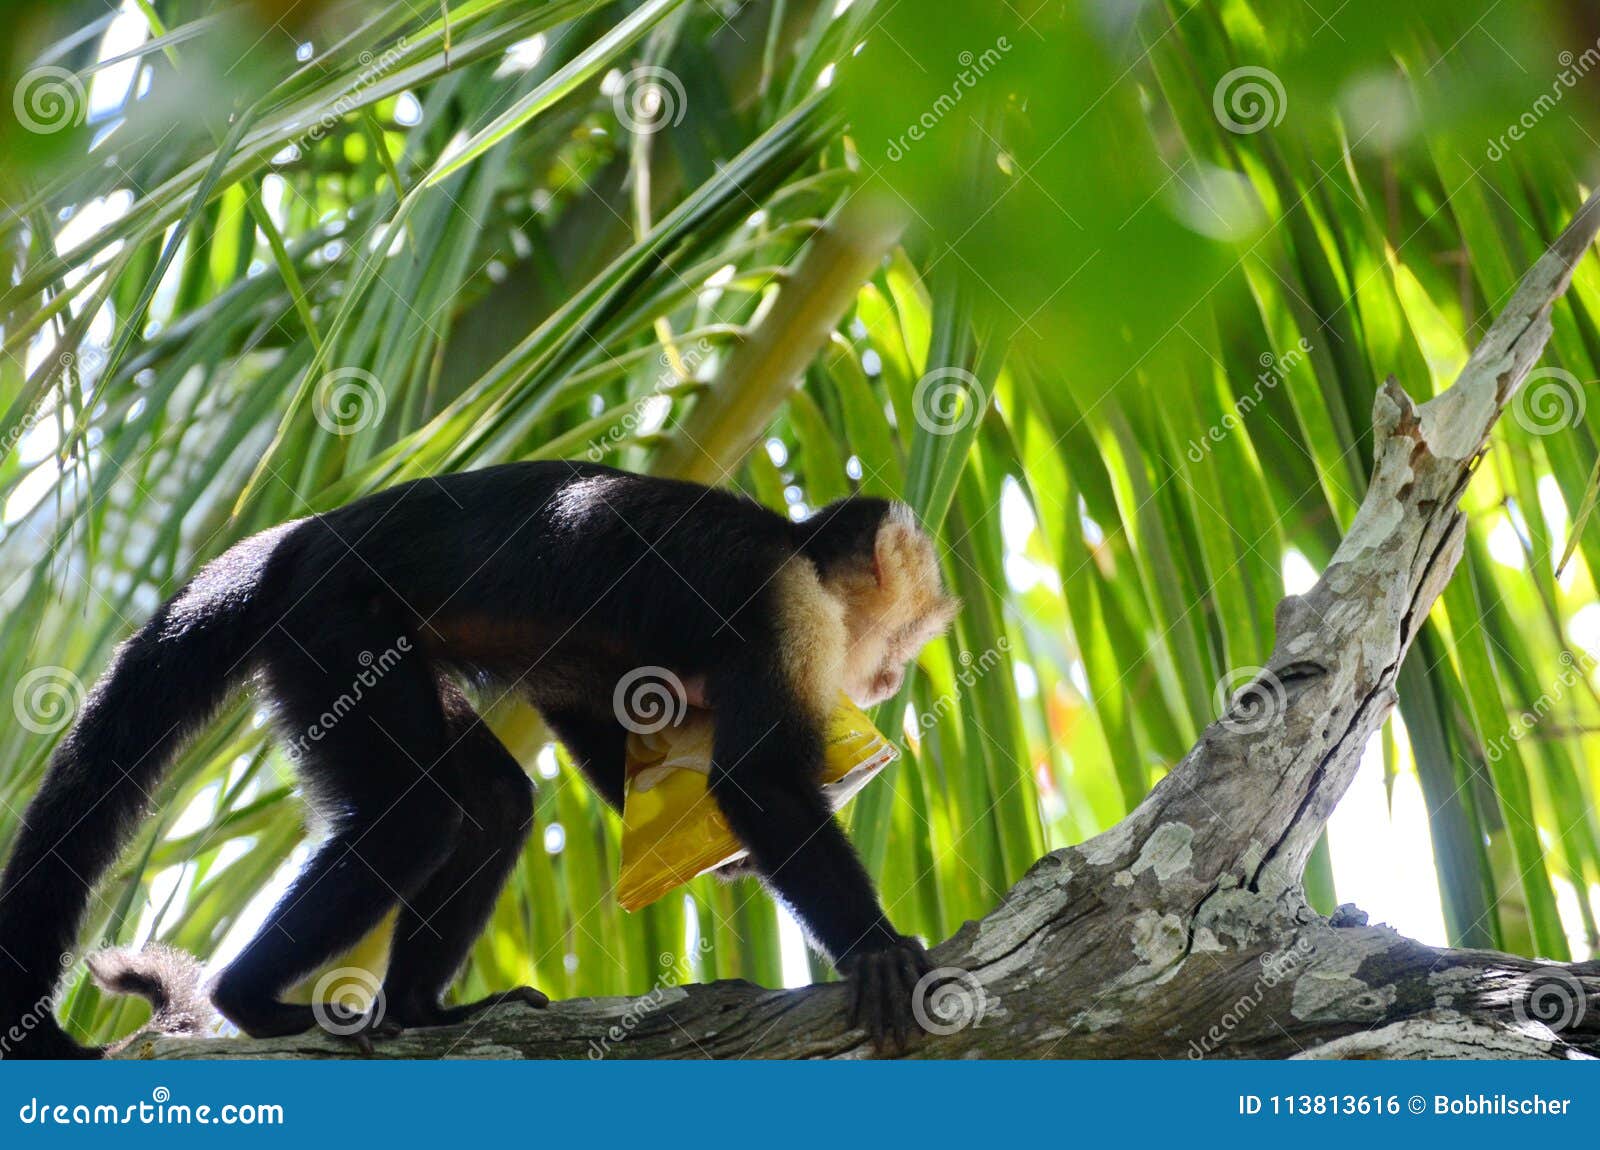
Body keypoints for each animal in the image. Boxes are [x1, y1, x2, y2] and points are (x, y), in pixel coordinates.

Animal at [0, 462, 960, 1058]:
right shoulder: (787, 607)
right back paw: (252, 1001)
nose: (891, 678)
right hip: (336, 624)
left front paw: (714, 854)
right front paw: (875, 950)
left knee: (493, 802)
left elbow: (597, 701)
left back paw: (423, 1010)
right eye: (908, 636)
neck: (796, 551)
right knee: (418, 814)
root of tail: (298, 540)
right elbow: (756, 782)